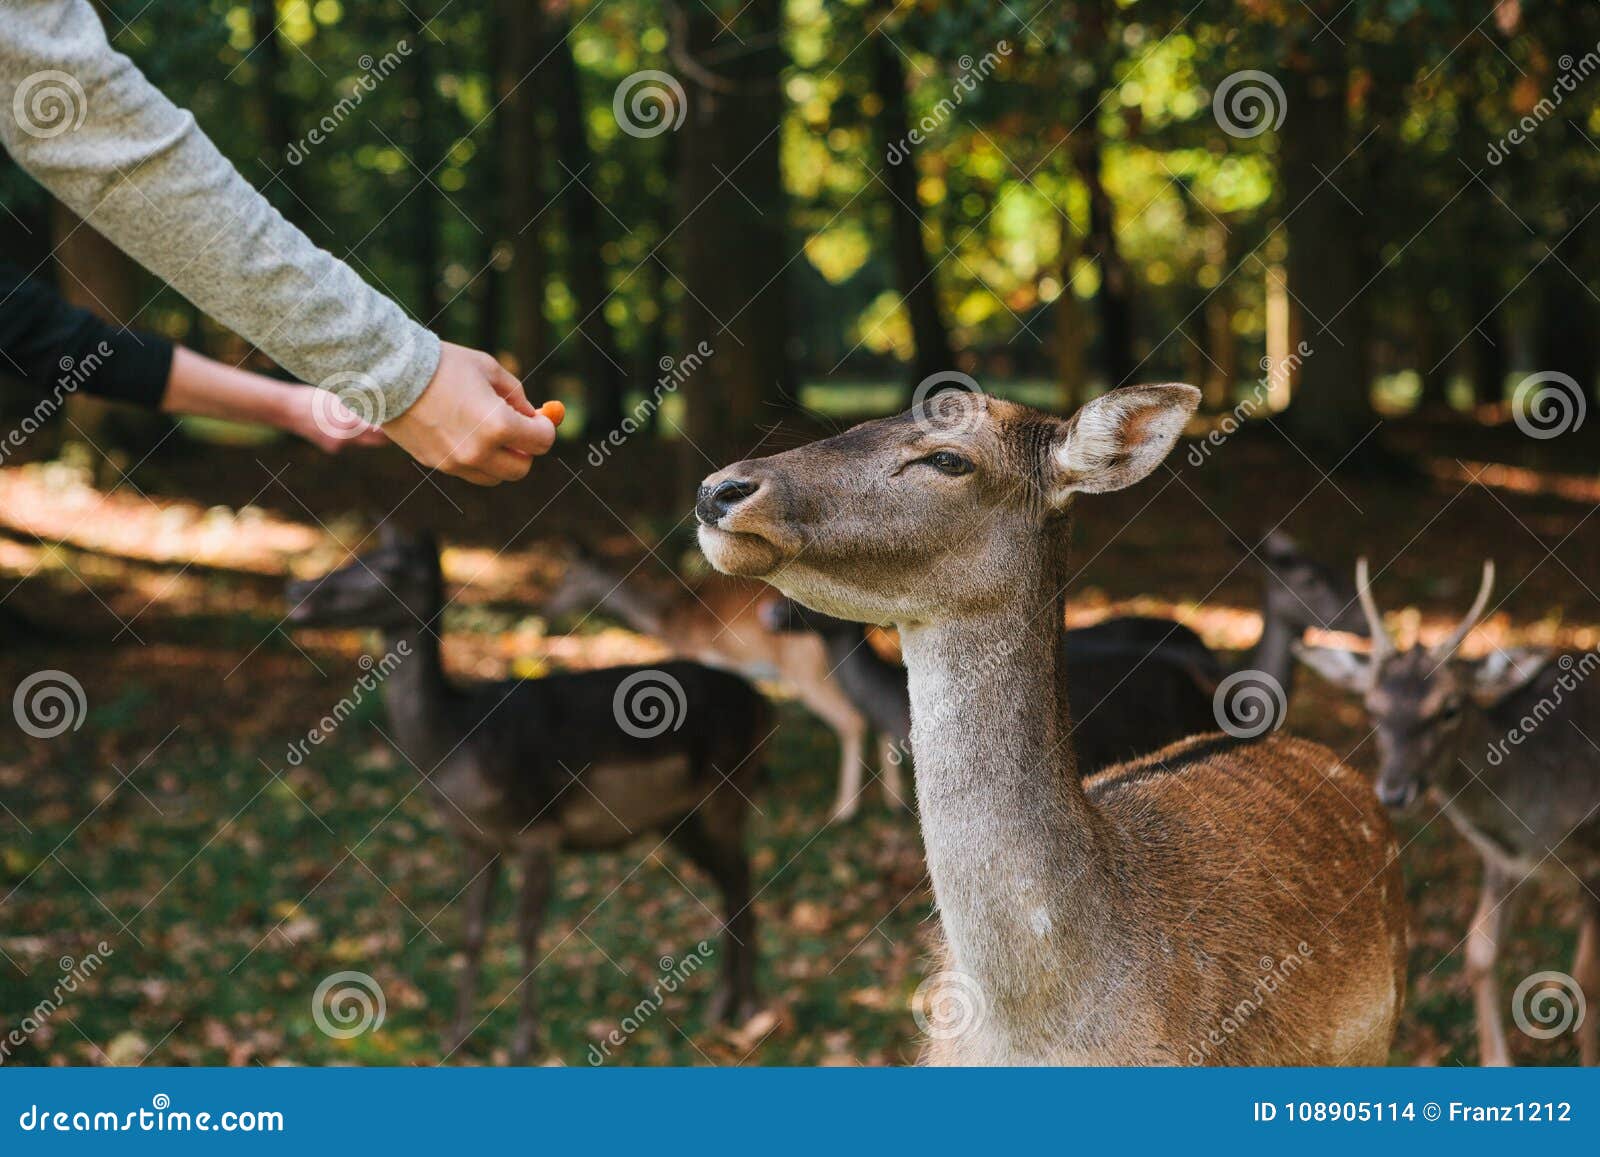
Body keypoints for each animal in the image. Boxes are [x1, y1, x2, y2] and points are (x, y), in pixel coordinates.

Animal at [285, 528, 766, 1063]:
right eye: (361, 552)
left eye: (391, 567)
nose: (298, 591)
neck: (457, 745)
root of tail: (765, 707)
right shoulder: (474, 840)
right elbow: (473, 933)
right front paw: (456, 1038)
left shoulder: (540, 830)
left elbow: (527, 931)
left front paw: (523, 1042)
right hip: (675, 820)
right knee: (728, 881)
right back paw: (725, 1006)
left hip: (727, 792)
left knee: (742, 877)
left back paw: (745, 1010)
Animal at [544, 547, 901, 821]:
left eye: (569, 574)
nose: (548, 608)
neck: (668, 619)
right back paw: (891, 800)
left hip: (806, 670)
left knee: (851, 719)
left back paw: (843, 811)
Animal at [1296, 558, 1600, 1066]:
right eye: (1373, 708)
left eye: (1450, 708)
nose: (1395, 791)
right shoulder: (1501, 859)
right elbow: (1479, 954)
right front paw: (1496, 1060)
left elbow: (1587, 975)